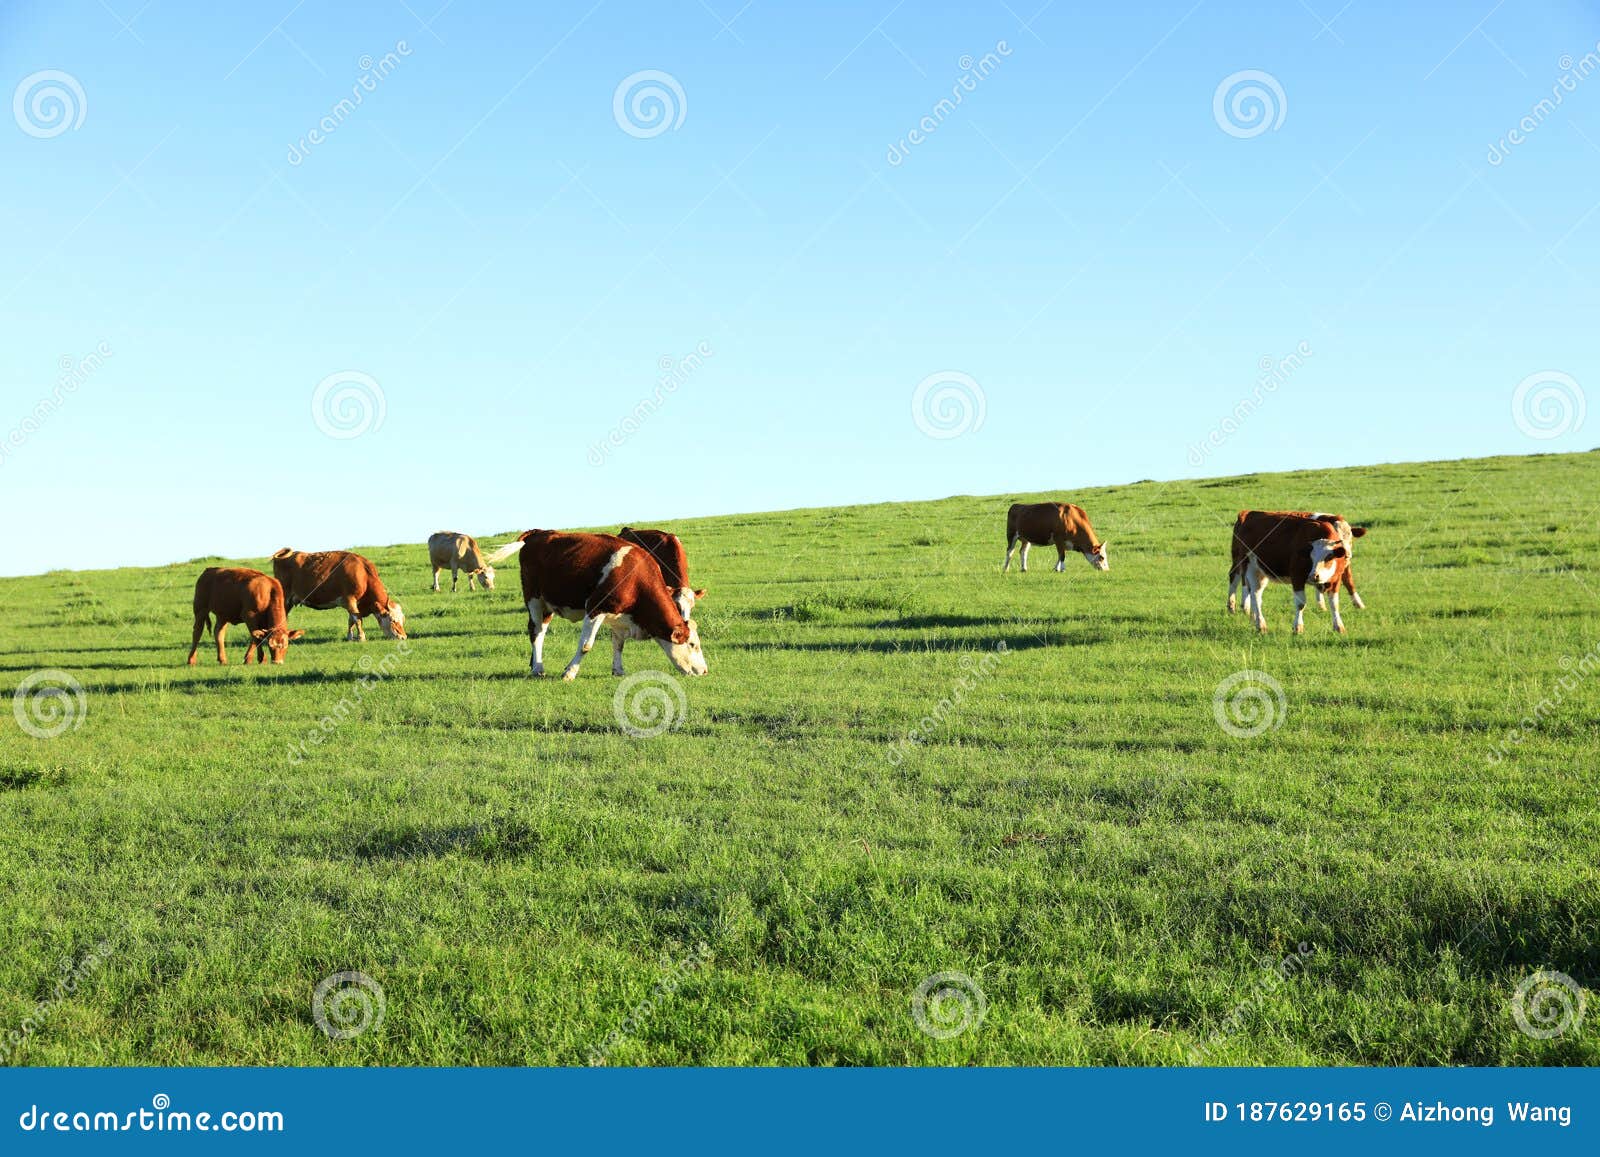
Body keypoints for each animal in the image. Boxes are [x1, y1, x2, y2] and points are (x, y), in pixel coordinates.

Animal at [271, 549, 406, 641]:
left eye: (402, 620)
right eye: (393, 620)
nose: (404, 637)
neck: (363, 575)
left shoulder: (353, 603)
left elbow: (351, 620)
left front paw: (350, 637)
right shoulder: (349, 599)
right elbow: (358, 620)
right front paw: (361, 637)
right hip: (285, 598)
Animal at [513, 529, 707, 681]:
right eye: (692, 645)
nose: (705, 671)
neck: (636, 580)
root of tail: (537, 532)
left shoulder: (618, 616)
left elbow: (618, 644)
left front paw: (618, 670)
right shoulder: (595, 608)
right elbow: (585, 645)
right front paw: (570, 672)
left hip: (548, 604)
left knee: (542, 631)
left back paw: (535, 663)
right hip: (534, 599)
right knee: (536, 631)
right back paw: (538, 668)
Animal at [1227, 511, 1357, 634]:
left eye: (1329, 557)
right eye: (1311, 557)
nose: (1314, 576)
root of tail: (1248, 513)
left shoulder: (1336, 579)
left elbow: (1334, 604)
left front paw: (1339, 627)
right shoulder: (1297, 576)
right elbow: (1301, 603)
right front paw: (1298, 628)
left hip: (1262, 572)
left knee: (1255, 593)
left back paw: (1254, 618)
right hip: (1249, 566)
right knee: (1252, 592)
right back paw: (1259, 623)